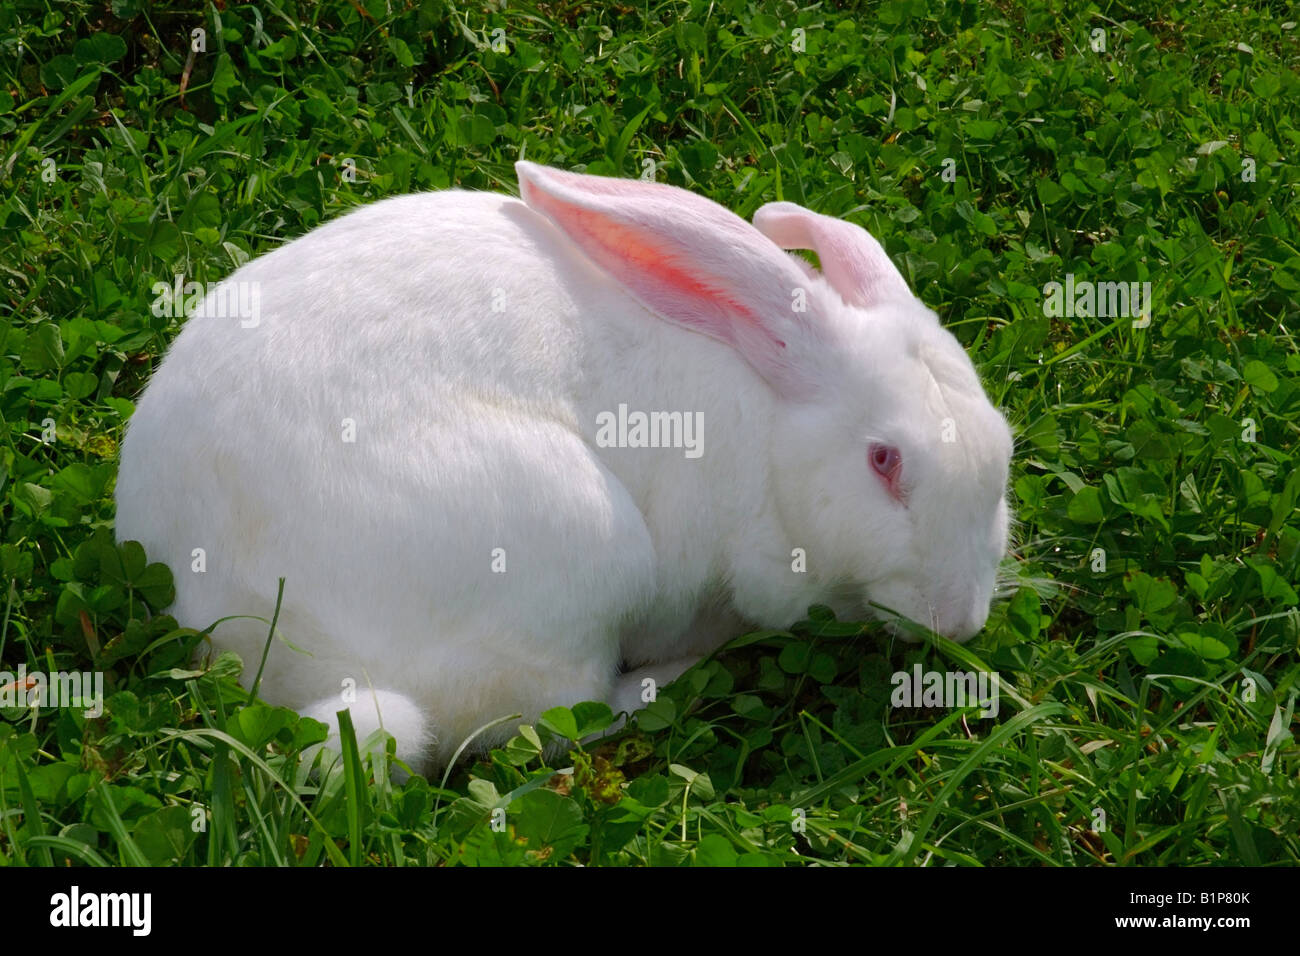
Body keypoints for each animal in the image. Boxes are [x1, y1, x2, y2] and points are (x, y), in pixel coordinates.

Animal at [115, 160, 1014, 773]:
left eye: (1002, 448)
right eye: (885, 461)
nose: (960, 621)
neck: (770, 421)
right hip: (579, 548)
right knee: (557, 718)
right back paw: (679, 674)